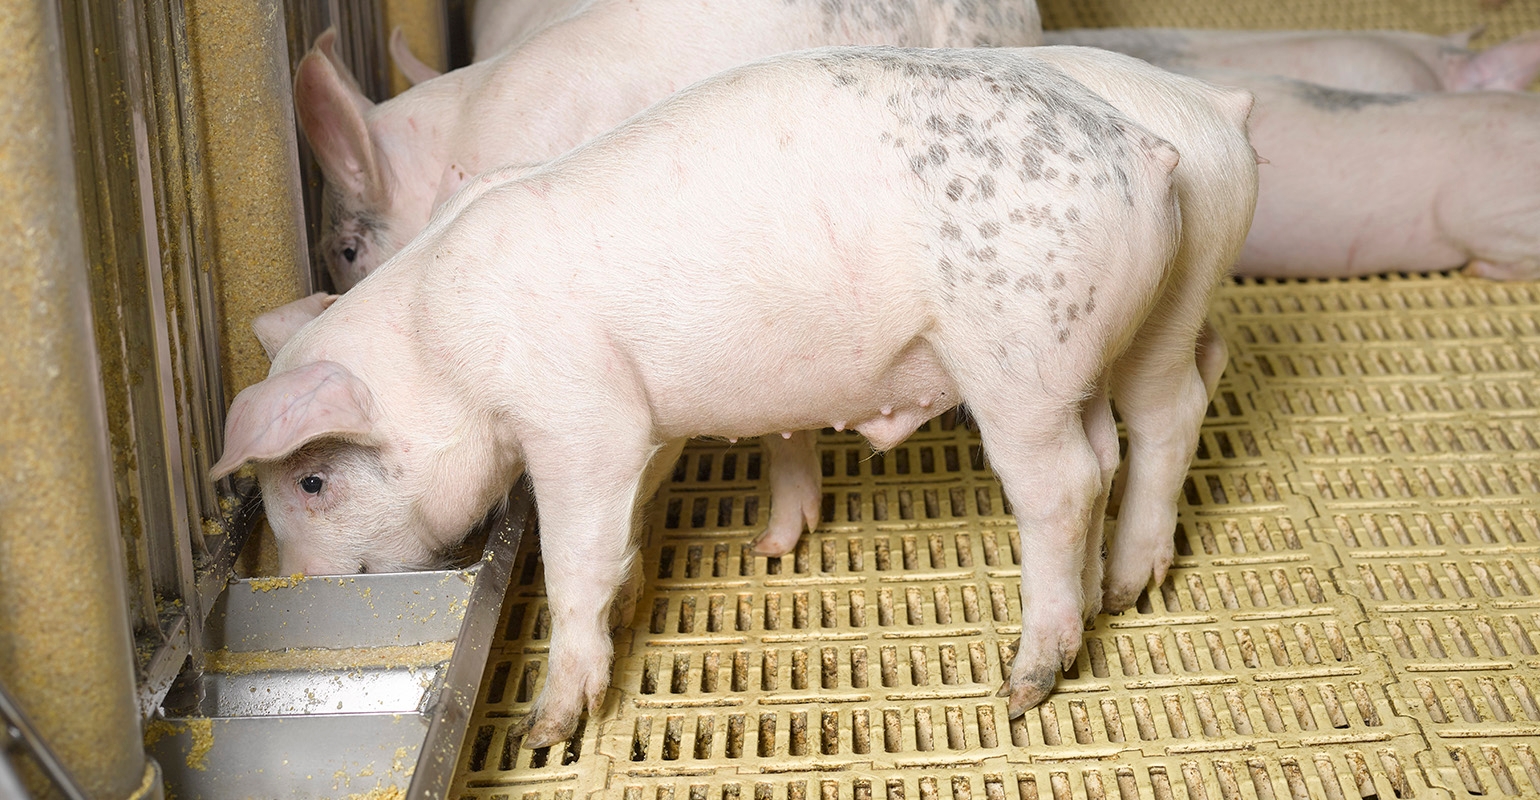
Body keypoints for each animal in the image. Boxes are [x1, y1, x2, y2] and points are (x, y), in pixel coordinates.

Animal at [214, 46, 1186, 744]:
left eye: (311, 481)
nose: (292, 582)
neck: (439, 347)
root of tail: (1146, 149)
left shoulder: (580, 418)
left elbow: (573, 559)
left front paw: (545, 730)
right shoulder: (647, 424)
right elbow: (633, 517)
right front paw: (638, 595)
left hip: (1017, 358)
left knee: (1064, 486)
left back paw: (1024, 686)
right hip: (1079, 356)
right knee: (1104, 457)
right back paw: (1100, 604)